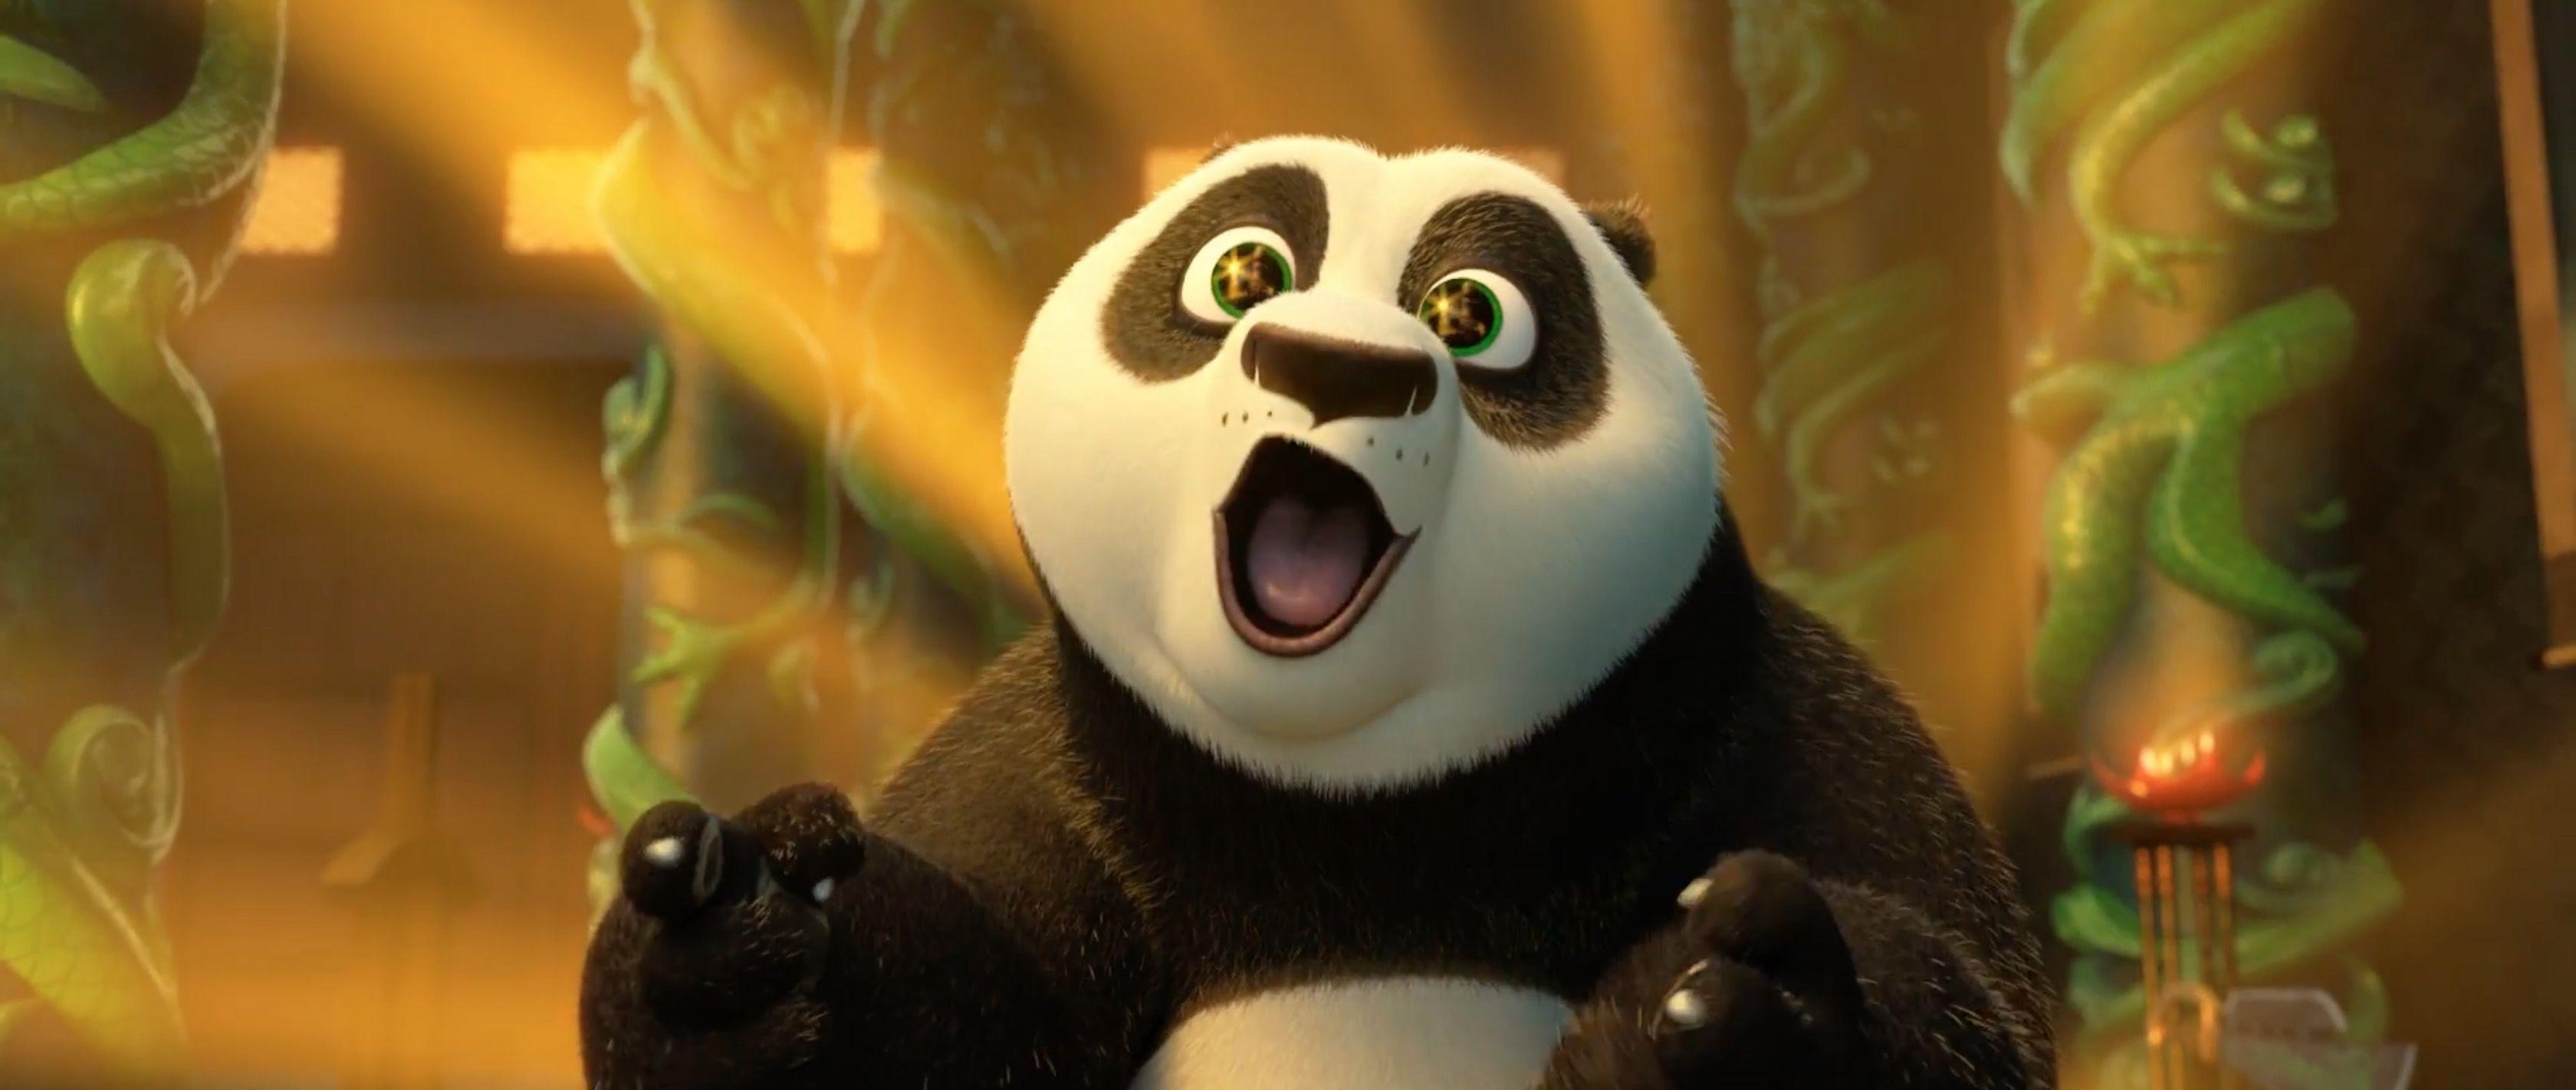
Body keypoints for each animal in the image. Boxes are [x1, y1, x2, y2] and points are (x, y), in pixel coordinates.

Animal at [580, 136, 2056, 1090]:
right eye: (1242, 275)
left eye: (1472, 312)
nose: (1333, 365)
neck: (1352, 811)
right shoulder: (1051, 763)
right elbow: (962, 1011)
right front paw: (747, 941)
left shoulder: (1753, 712)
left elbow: (1954, 980)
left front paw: (1733, 1005)